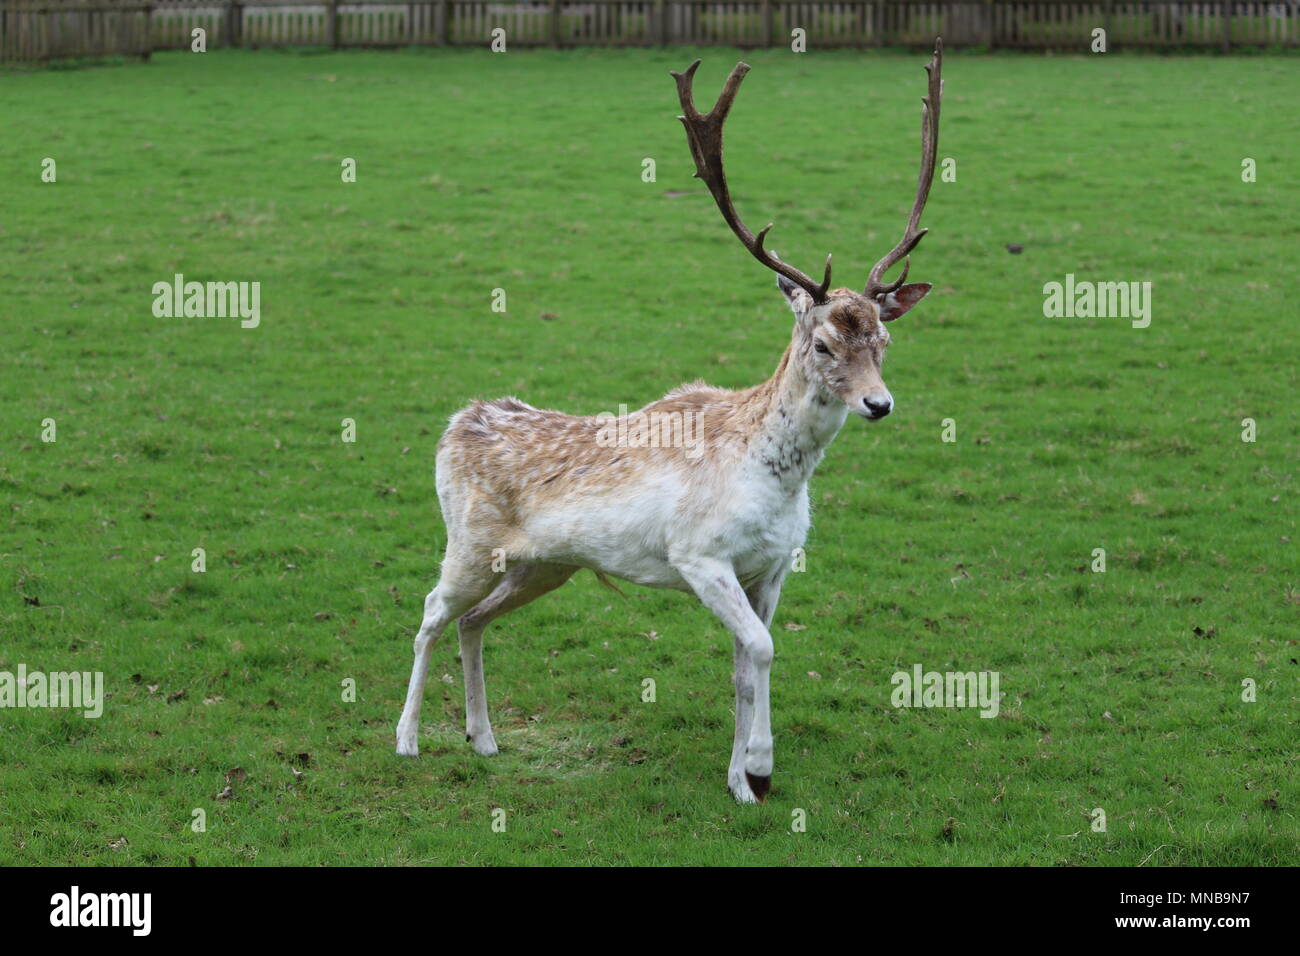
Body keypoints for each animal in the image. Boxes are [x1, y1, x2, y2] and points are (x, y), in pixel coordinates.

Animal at [396, 40, 944, 803]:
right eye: (823, 344)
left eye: (884, 341)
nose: (879, 404)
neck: (774, 481)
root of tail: (457, 422)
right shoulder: (699, 555)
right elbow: (763, 648)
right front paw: (762, 768)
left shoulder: (773, 567)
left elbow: (746, 662)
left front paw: (741, 782)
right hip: (470, 542)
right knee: (428, 611)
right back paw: (408, 740)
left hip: (544, 565)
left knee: (471, 621)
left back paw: (483, 738)